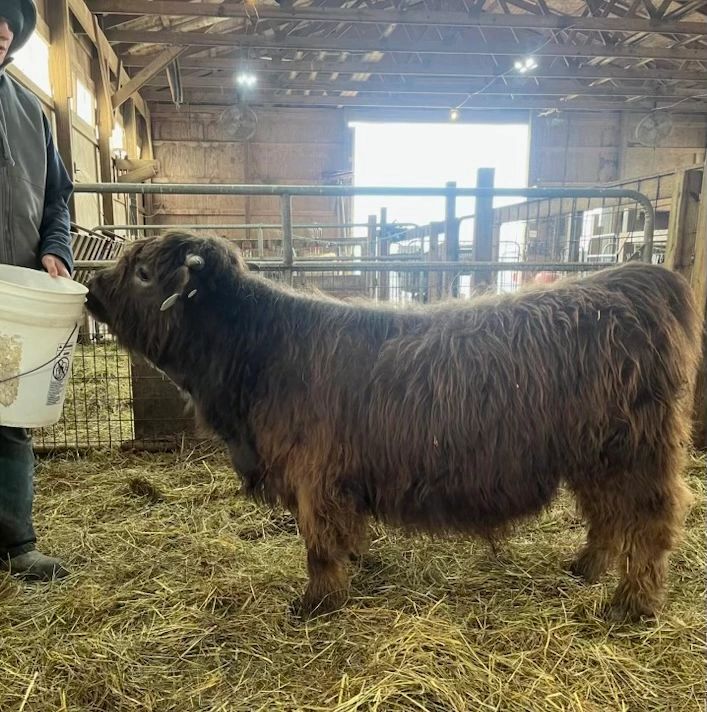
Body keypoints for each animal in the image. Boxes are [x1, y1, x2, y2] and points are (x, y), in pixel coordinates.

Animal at [86, 231, 701, 621]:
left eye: (143, 273)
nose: (90, 290)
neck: (262, 350)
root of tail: (632, 282)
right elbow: (343, 534)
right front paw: (358, 564)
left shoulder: (315, 476)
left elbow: (318, 544)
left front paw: (317, 603)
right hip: (592, 458)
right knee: (605, 519)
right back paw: (584, 569)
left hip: (634, 455)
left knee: (649, 524)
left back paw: (631, 605)